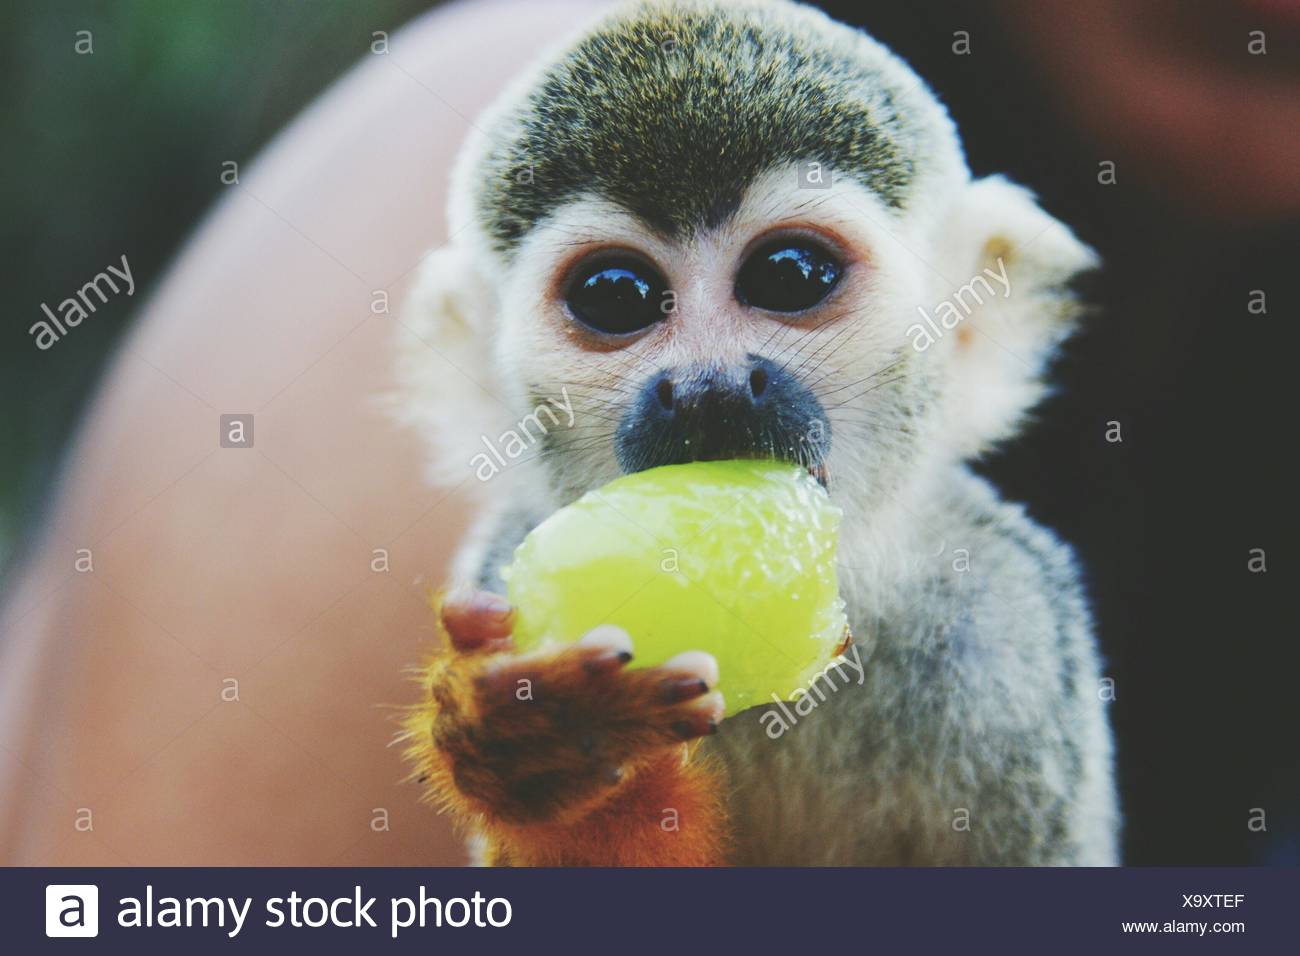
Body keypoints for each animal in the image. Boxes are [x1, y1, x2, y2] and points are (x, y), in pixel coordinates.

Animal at [393, 0, 1119, 866]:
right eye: (614, 295)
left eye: (790, 273)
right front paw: (549, 753)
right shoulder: (500, 571)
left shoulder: (1014, 638)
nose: (710, 388)